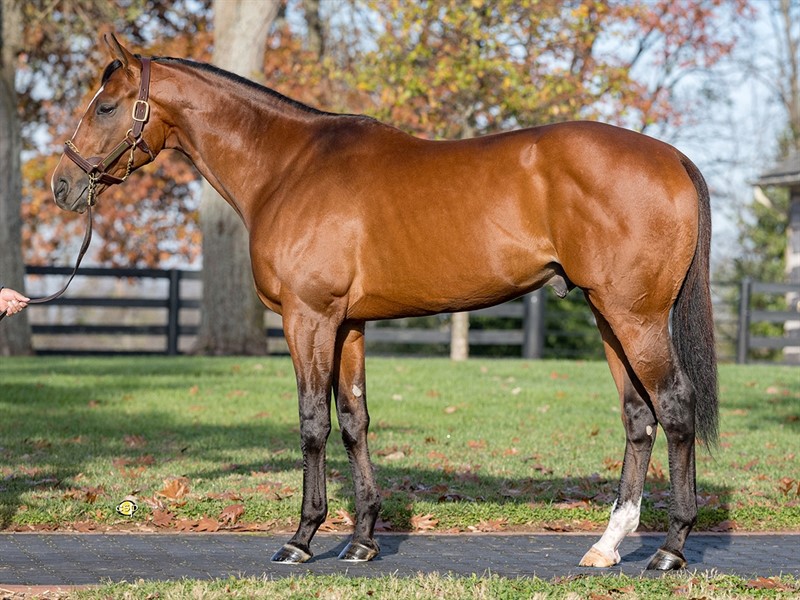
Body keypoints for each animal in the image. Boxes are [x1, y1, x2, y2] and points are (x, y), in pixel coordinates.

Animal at [51, 35, 717, 571]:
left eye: (105, 106)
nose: (63, 185)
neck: (288, 167)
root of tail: (672, 157)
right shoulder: (348, 325)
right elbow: (355, 421)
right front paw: (363, 540)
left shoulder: (309, 319)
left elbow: (313, 424)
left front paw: (301, 538)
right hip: (608, 317)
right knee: (638, 418)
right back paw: (607, 546)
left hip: (635, 317)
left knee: (674, 407)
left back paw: (670, 549)